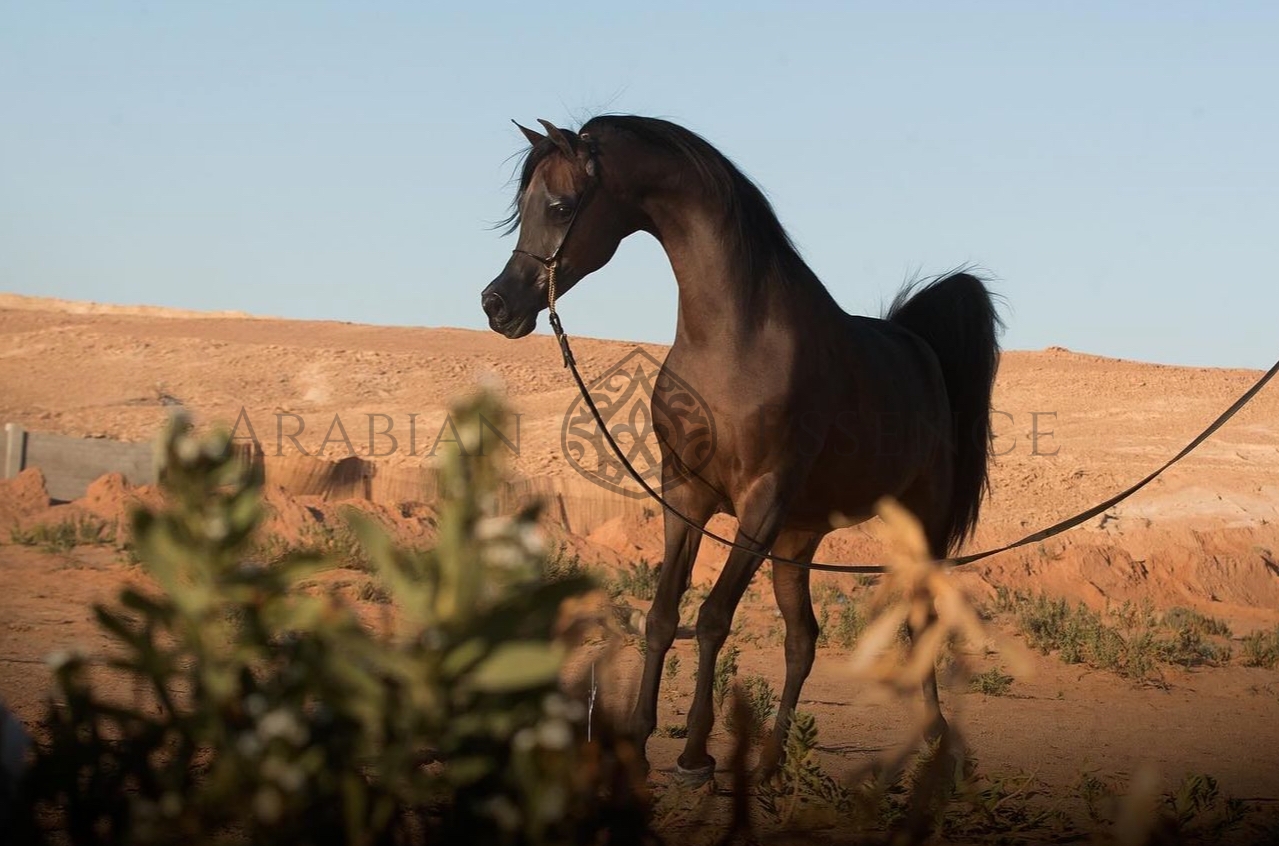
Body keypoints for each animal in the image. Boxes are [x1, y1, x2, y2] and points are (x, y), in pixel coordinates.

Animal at [481, 115, 1002, 784]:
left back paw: (938, 746)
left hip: (915, 527)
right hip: (797, 541)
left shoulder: (760, 502)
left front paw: (696, 752)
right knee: (802, 639)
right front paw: (641, 739)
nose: (497, 304)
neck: (734, 340)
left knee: (922, 622)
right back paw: (773, 759)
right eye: (522, 206)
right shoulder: (686, 495)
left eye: (561, 205)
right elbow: (662, 615)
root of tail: (921, 351)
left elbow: (711, 619)